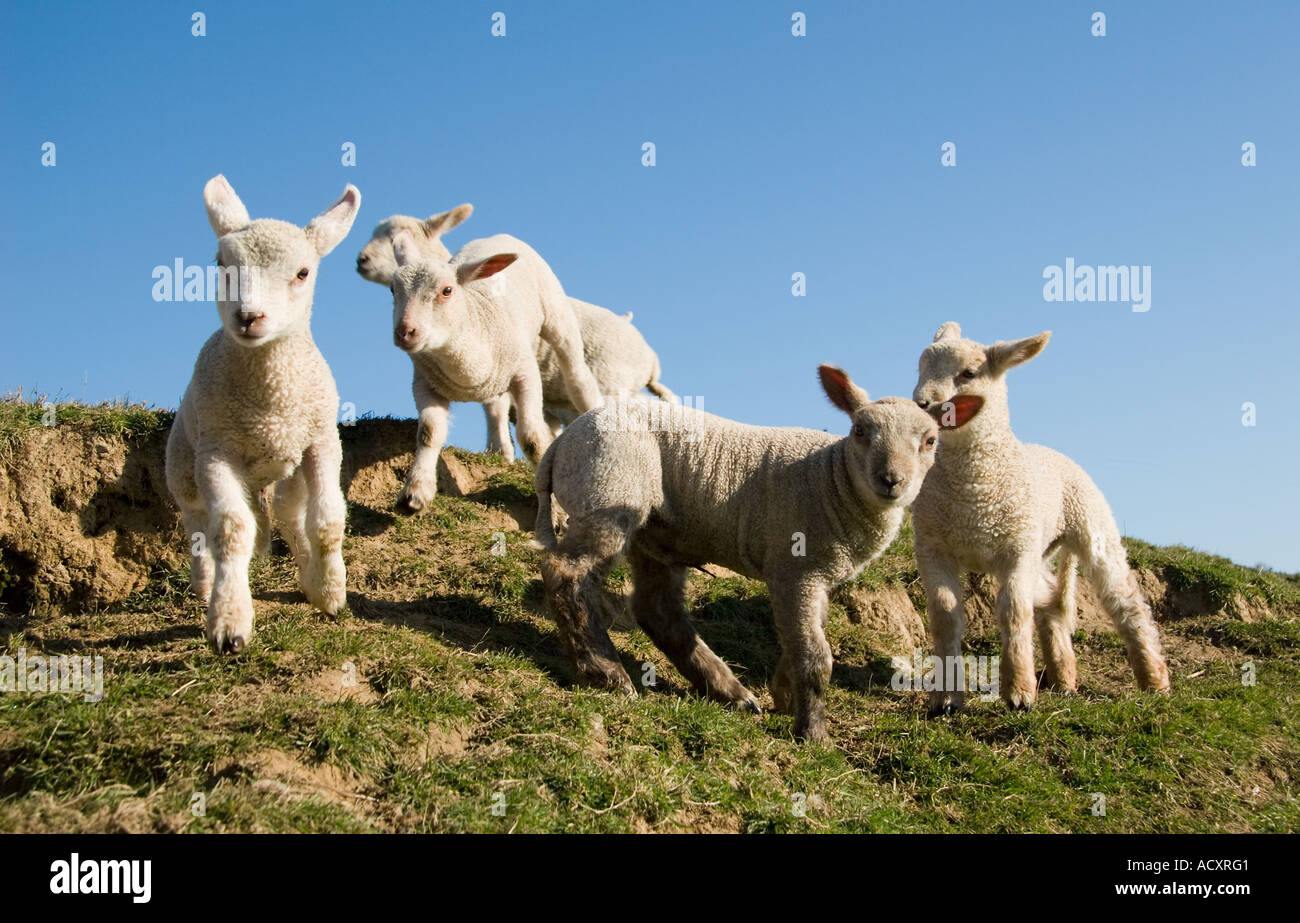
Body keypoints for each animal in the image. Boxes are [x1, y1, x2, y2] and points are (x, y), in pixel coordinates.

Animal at [164, 175, 360, 654]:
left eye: (303, 273)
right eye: (220, 264)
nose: (249, 317)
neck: (271, 401)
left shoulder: (320, 439)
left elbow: (328, 518)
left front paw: (331, 593)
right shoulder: (217, 452)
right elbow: (231, 529)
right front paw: (229, 623)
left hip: (286, 467)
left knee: (290, 513)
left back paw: (308, 574)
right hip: (183, 465)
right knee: (197, 520)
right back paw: (204, 583)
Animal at [356, 208, 674, 460]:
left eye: (397, 236)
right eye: (394, 290)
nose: (361, 260)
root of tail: (651, 358)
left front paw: (503, 452)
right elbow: (495, 407)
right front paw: (499, 451)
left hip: (605, 376)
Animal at [387, 228, 604, 512]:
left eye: (447, 291)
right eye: (392, 290)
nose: (405, 332)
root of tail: (500, 235)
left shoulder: (526, 374)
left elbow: (532, 438)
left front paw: (554, 509)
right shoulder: (424, 383)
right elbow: (429, 433)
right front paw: (415, 493)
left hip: (557, 316)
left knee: (578, 378)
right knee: (496, 407)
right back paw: (501, 451)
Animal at [533, 367, 940, 743]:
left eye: (931, 440)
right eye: (859, 431)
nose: (892, 480)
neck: (831, 479)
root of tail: (561, 443)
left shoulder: (817, 576)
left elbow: (802, 637)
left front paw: (785, 694)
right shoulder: (796, 569)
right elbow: (815, 655)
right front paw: (813, 734)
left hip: (654, 535)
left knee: (657, 610)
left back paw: (730, 692)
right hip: (610, 489)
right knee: (566, 573)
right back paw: (606, 673)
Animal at [910, 322, 1171, 714]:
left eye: (968, 373)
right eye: (920, 368)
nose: (921, 403)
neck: (972, 492)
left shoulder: (1017, 549)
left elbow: (1014, 610)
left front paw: (1019, 693)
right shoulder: (933, 547)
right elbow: (945, 615)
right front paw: (945, 697)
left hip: (1090, 527)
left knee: (1124, 600)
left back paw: (1155, 680)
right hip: (1040, 548)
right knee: (1051, 602)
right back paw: (1064, 676)